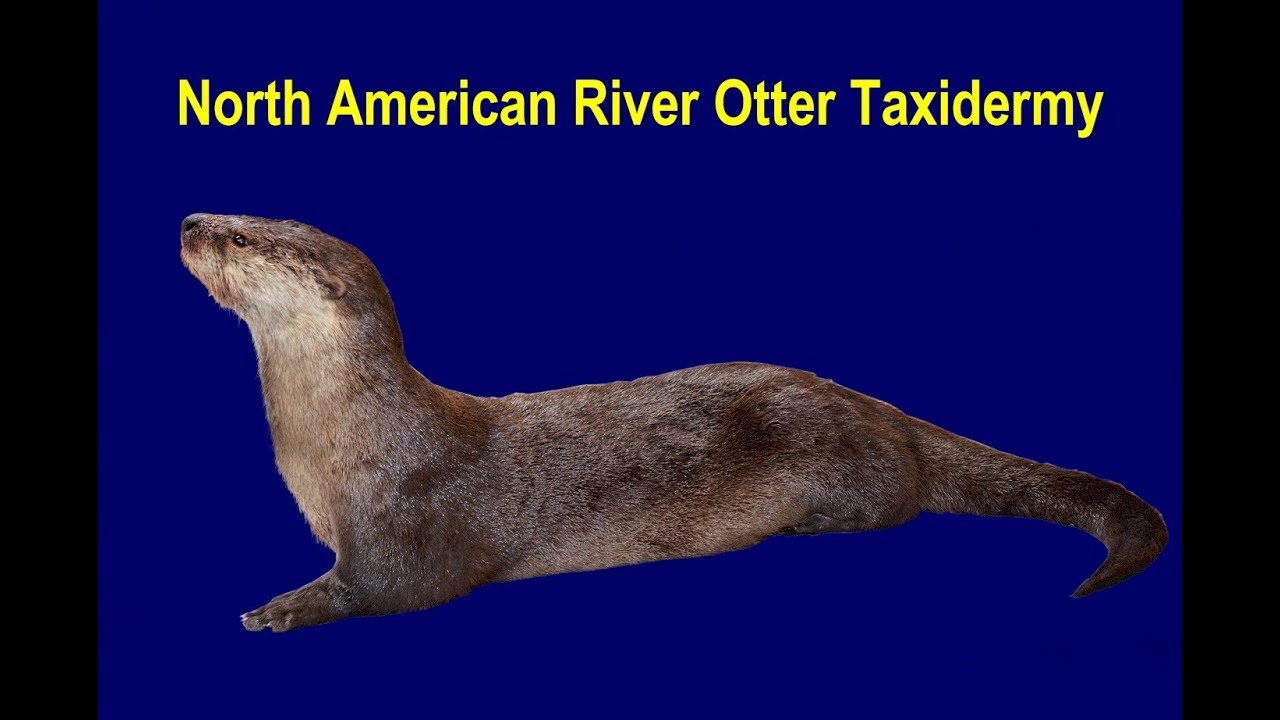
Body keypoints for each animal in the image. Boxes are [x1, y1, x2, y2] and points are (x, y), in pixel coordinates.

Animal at [180, 213, 1168, 633]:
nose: (191, 218)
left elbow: (388, 588)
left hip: (833, 445)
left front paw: (283, 606)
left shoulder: (413, 522)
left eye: (239, 236)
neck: (351, 443)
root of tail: (871, 401)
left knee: (897, 499)